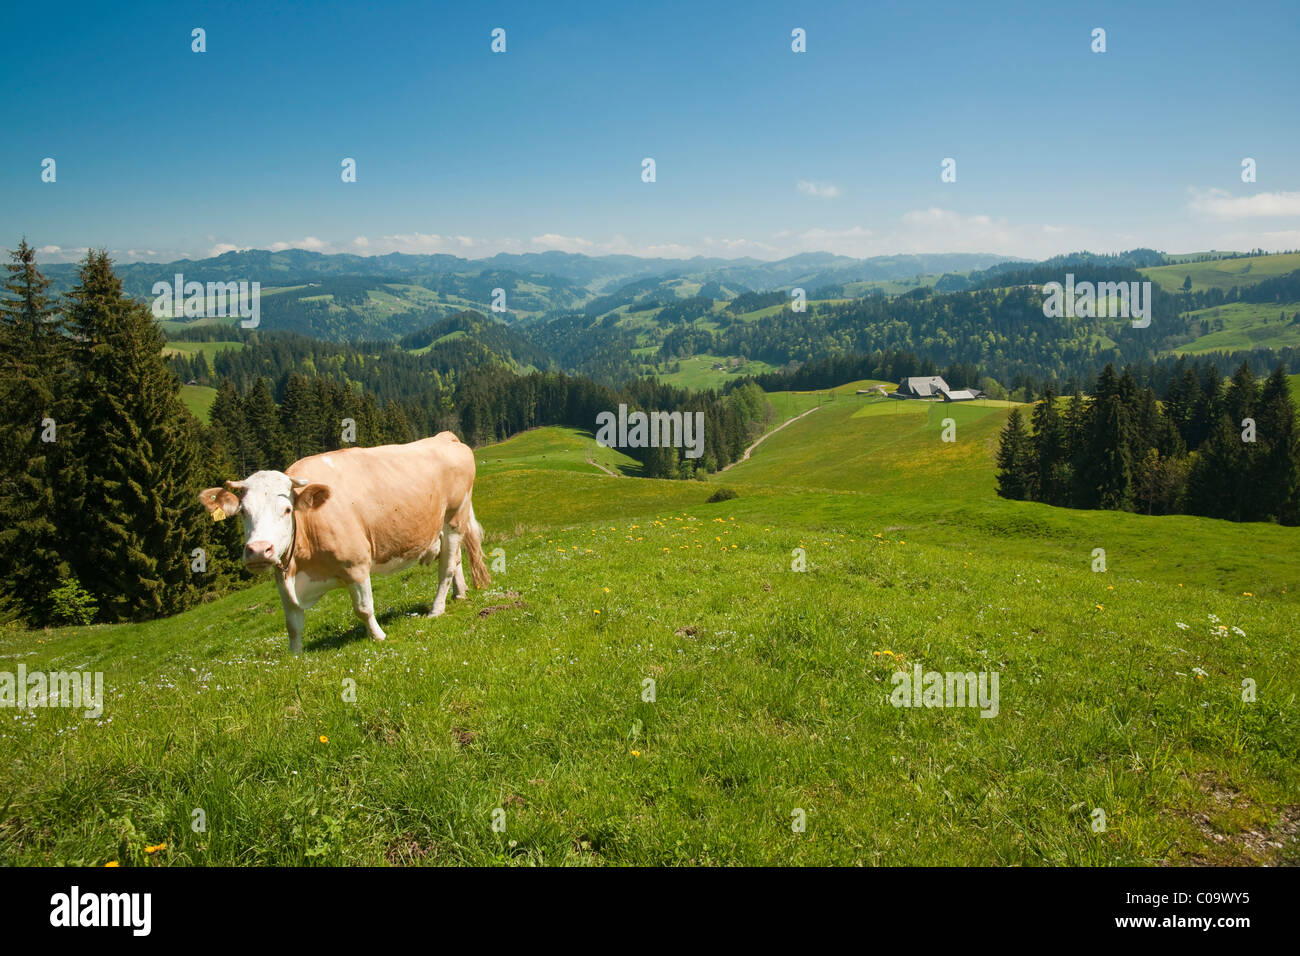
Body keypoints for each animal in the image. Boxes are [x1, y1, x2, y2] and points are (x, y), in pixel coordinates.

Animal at [199, 431, 490, 653]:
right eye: (243, 512)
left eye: (287, 510)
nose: (259, 550)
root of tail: (444, 437)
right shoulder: (282, 577)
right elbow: (292, 623)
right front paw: (294, 656)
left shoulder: (356, 563)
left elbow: (363, 608)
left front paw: (379, 636)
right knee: (455, 560)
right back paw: (459, 593)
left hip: (454, 519)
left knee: (446, 567)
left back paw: (436, 609)